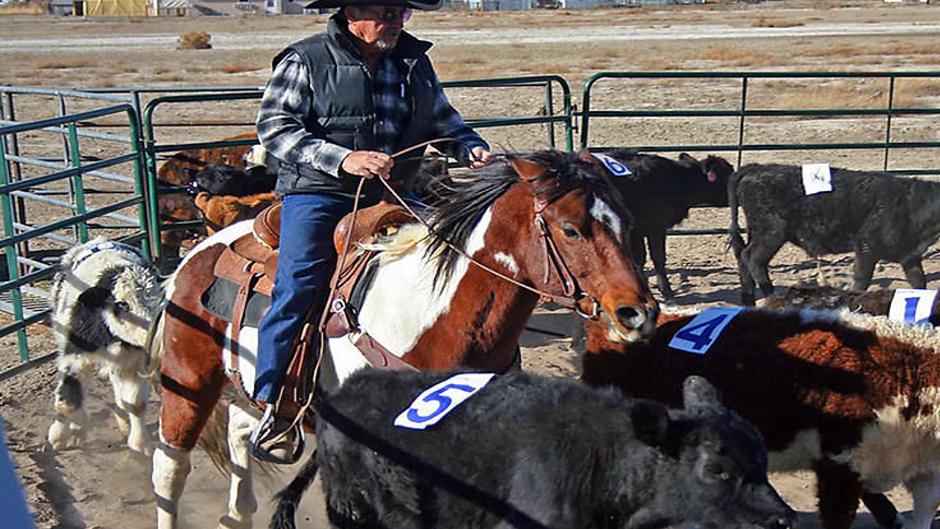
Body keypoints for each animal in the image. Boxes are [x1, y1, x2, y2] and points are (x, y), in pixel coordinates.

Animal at [46, 238, 164, 455]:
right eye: (123, 304)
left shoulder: (133, 363)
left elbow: (136, 403)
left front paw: (140, 443)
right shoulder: (73, 356)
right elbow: (68, 399)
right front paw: (59, 437)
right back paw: (79, 426)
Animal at [728, 163, 940, 305]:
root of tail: (756, 168)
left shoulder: (910, 256)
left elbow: (919, 282)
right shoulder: (866, 246)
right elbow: (862, 279)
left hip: (758, 231)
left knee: (743, 257)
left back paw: (748, 302)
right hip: (772, 232)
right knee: (753, 259)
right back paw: (772, 296)